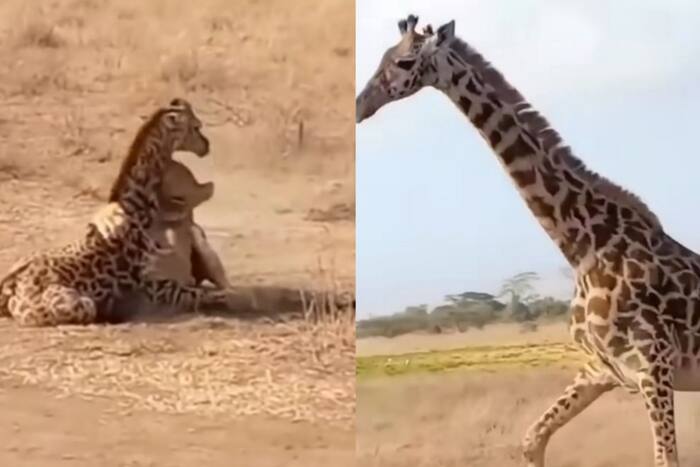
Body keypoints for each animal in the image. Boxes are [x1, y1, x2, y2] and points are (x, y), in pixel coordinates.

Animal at [0, 98, 233, 326]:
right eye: (196, 127)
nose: (206, 146)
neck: (141, 209)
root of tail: (10, 286)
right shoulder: (155, 288)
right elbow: (210, 295)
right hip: (81, 305)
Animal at [357, 14, 700, 467]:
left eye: (404, 61)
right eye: (381, 56)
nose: (360, 105)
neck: (583, 246)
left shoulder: (653, 367)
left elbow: (665, 457)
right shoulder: (600, 370)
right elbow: (532, 439)